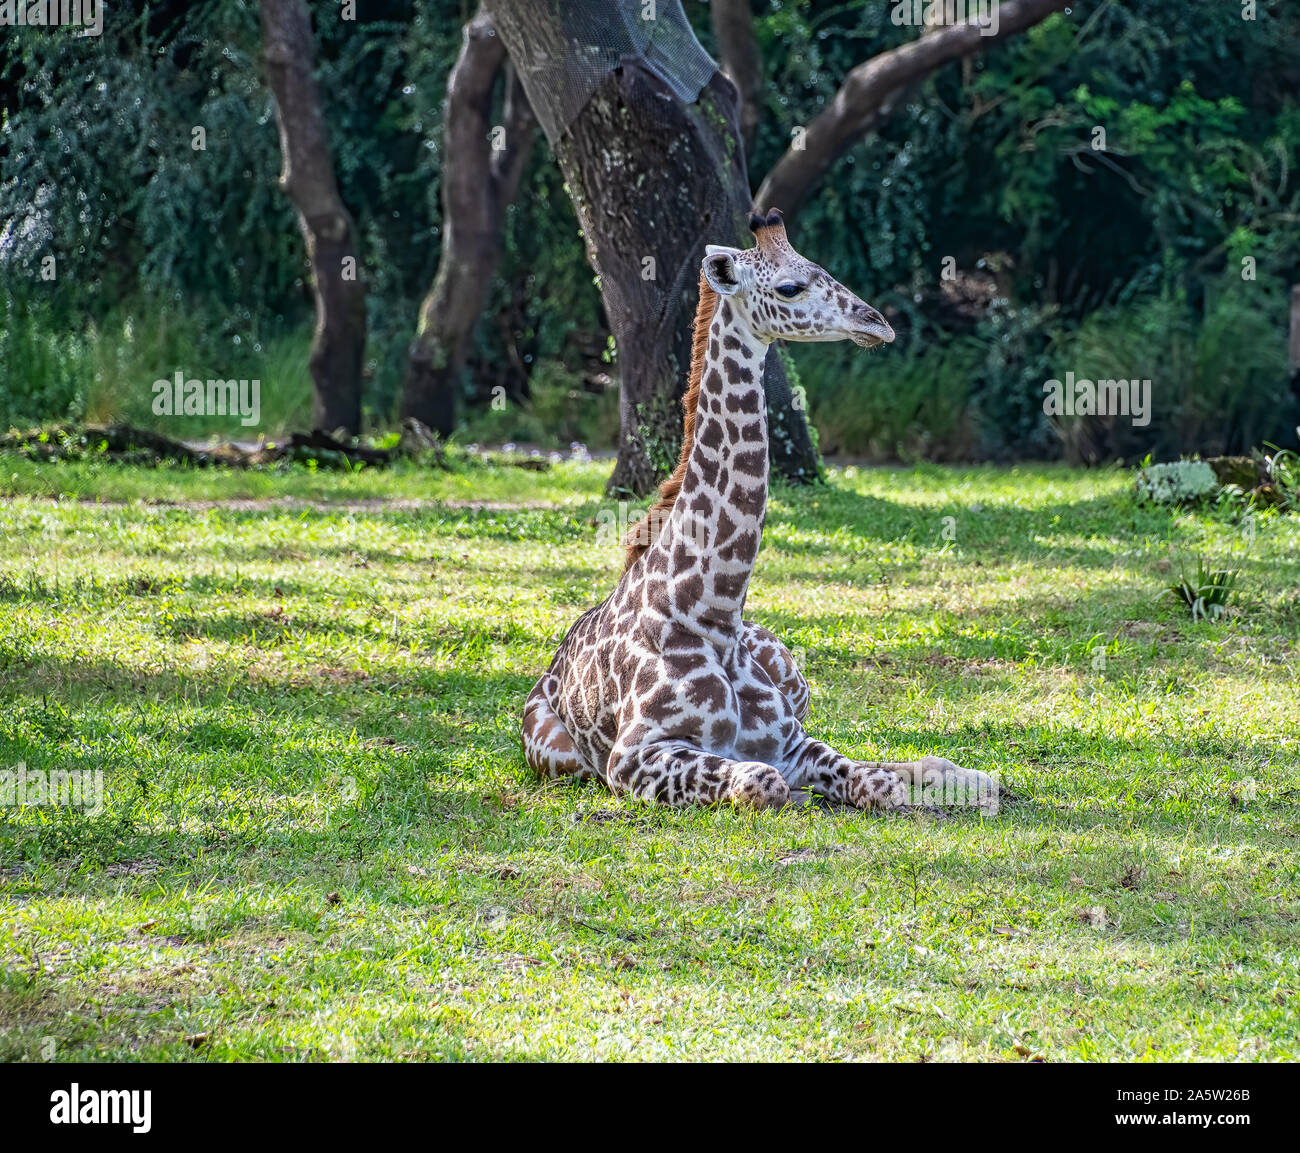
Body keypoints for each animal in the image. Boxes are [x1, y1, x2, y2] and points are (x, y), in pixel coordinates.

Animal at [522, 208, 1001, 813]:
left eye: (822, 268)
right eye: (790, 287)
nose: (878, 323)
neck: (712, 614)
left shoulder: (791, 739)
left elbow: (874, 780)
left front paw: (953, 783)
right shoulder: (633, 758)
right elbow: (763, 781)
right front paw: (797, 795)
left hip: (795, 677)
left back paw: (975, 779)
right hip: (558, 756)